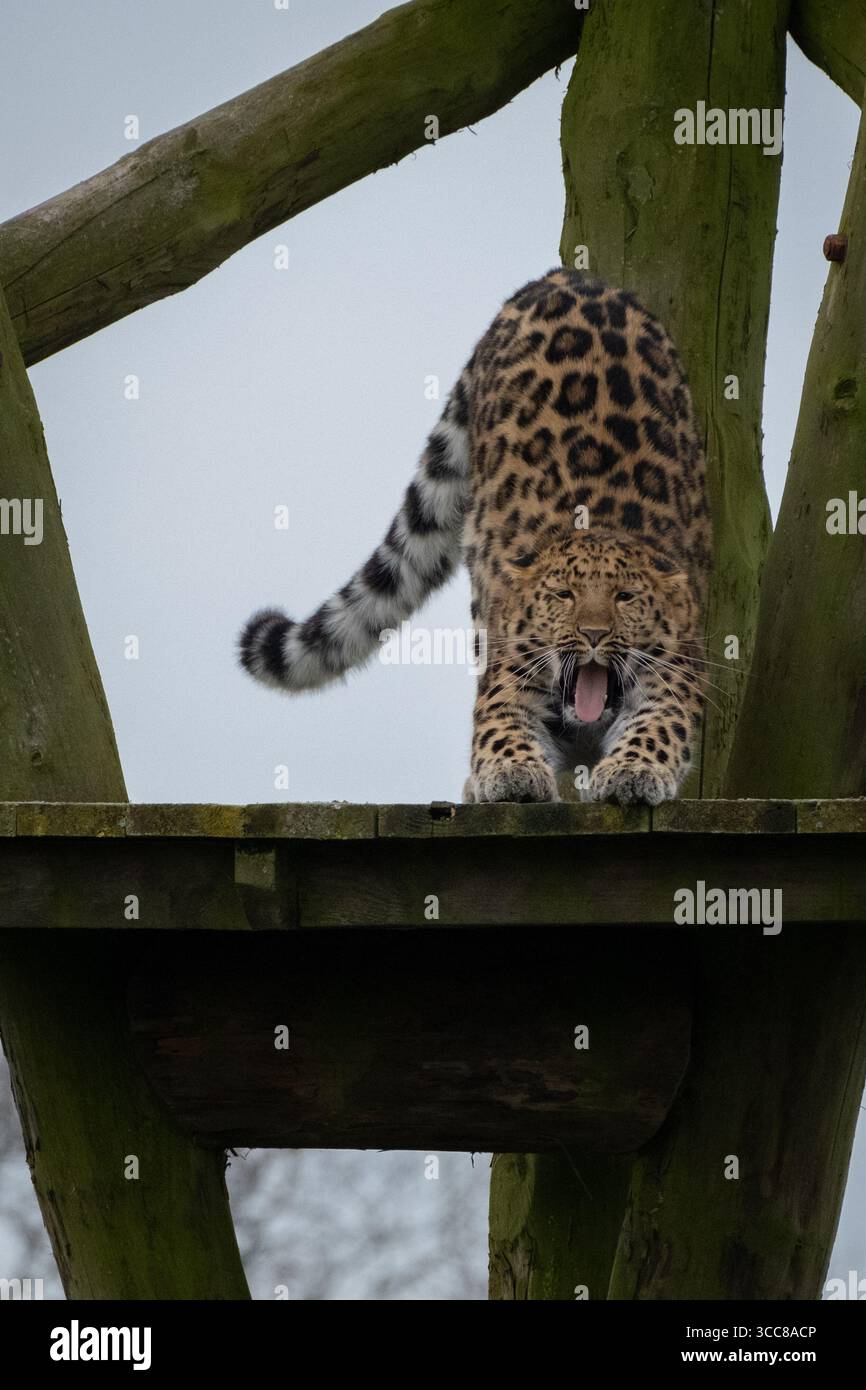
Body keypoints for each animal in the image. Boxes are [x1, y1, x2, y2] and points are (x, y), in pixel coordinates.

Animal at [239, 268, 712, 805]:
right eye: (563, 595)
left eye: (625, 597)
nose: (593, 634)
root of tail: (565, 276)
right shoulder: (508, 671)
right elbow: (501, 726)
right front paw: (512, 772)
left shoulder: (674, 673)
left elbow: (657, 727)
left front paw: (632, 771)